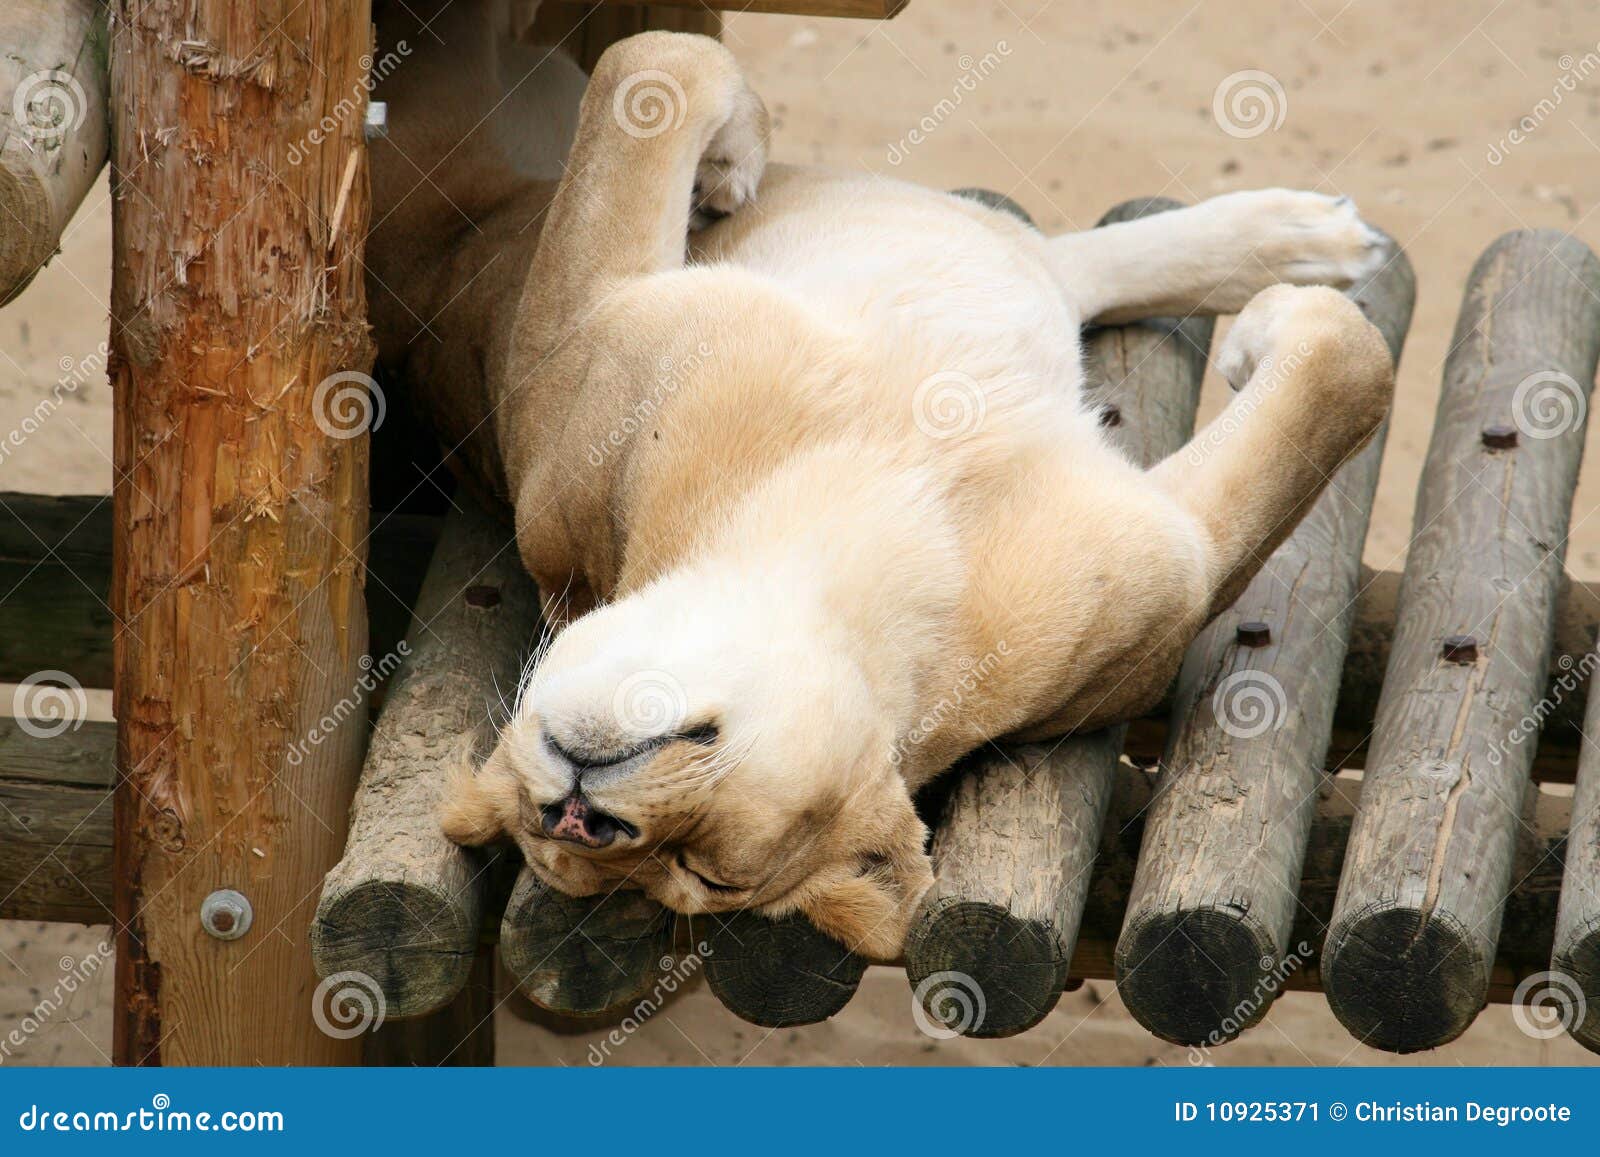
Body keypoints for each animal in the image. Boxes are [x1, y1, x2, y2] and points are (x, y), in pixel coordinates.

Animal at [366, 6, 1394, 960]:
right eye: (545, 827)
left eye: (702, 867)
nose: (582, 814)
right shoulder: (561, 352)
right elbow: (656, 66)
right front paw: (728, 154)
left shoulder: (1174, 561)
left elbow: (655, 60)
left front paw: (730, 158)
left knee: (1061, 262)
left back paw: (1301, 241)